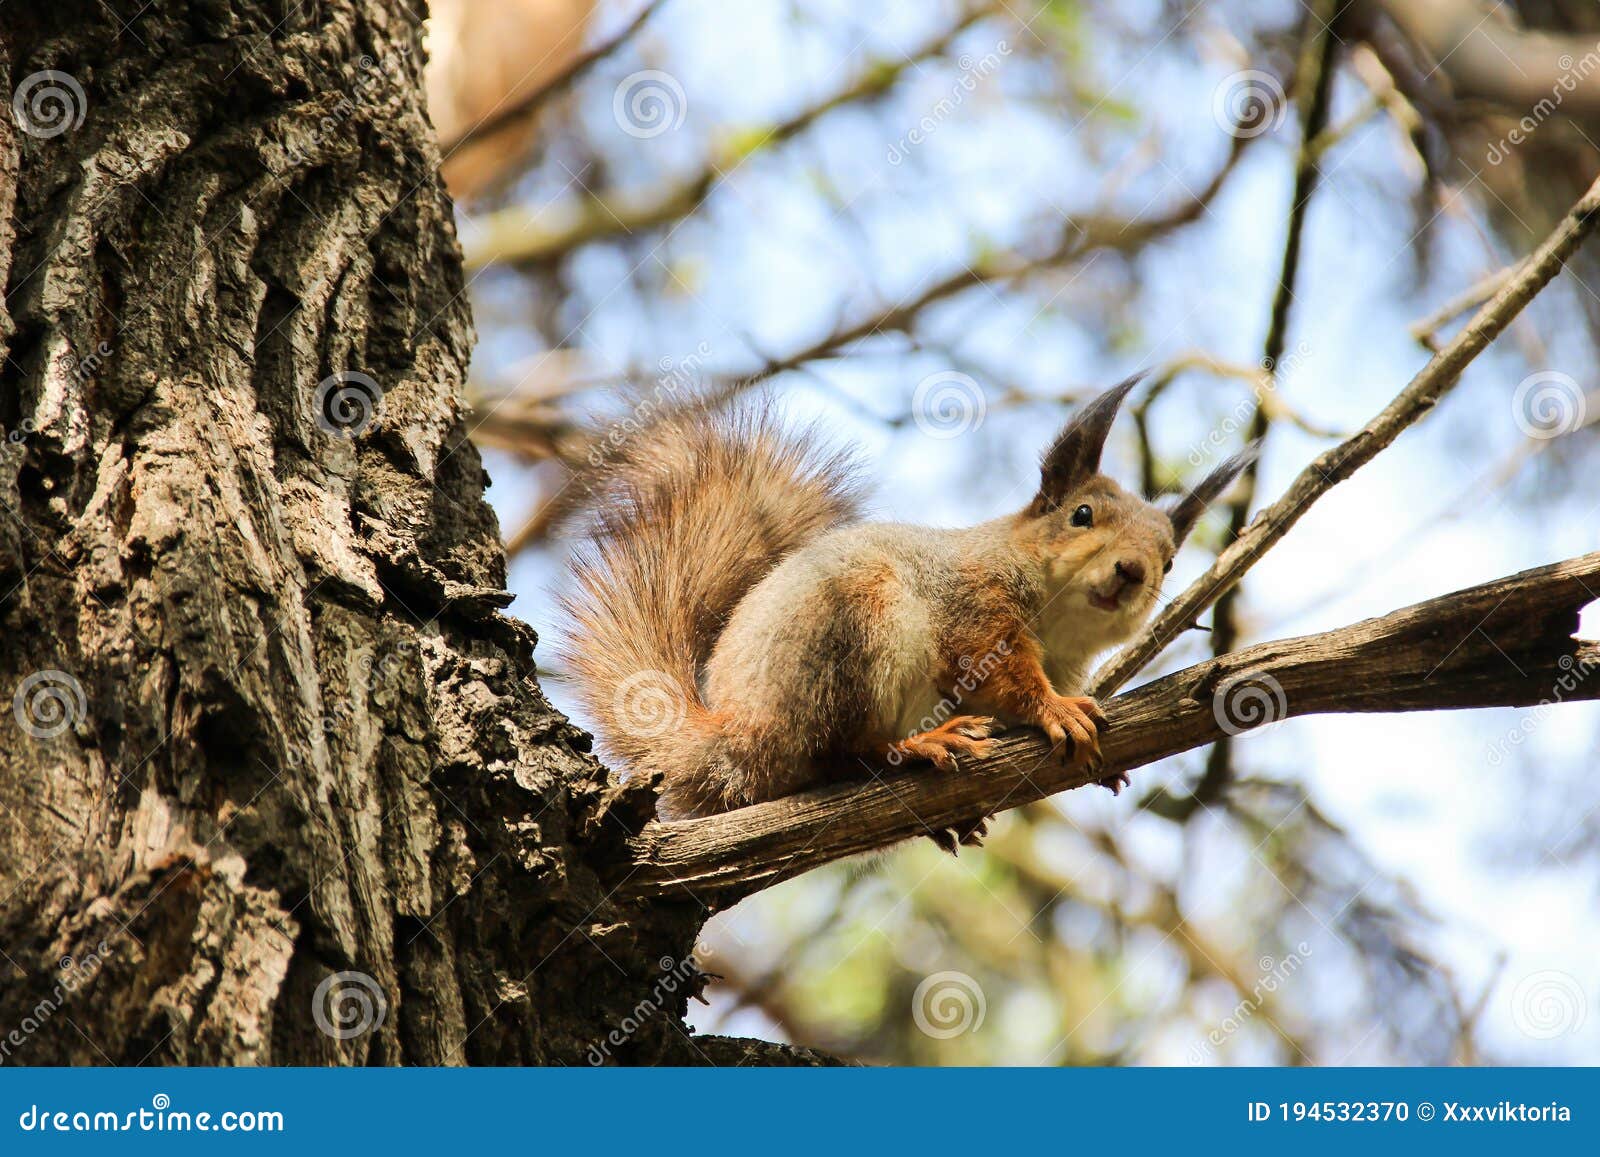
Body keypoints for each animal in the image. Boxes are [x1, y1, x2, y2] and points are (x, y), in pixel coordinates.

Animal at [563, 374, 1255, 820]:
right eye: (1081, 515)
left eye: (1170, 560)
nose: (1133, 571)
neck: (1060, 626)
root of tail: (736, 735)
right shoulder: (973, 608)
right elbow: (1003, 673)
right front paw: (1055, 711)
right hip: (855, 629)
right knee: (841, 754)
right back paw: (916, 746)